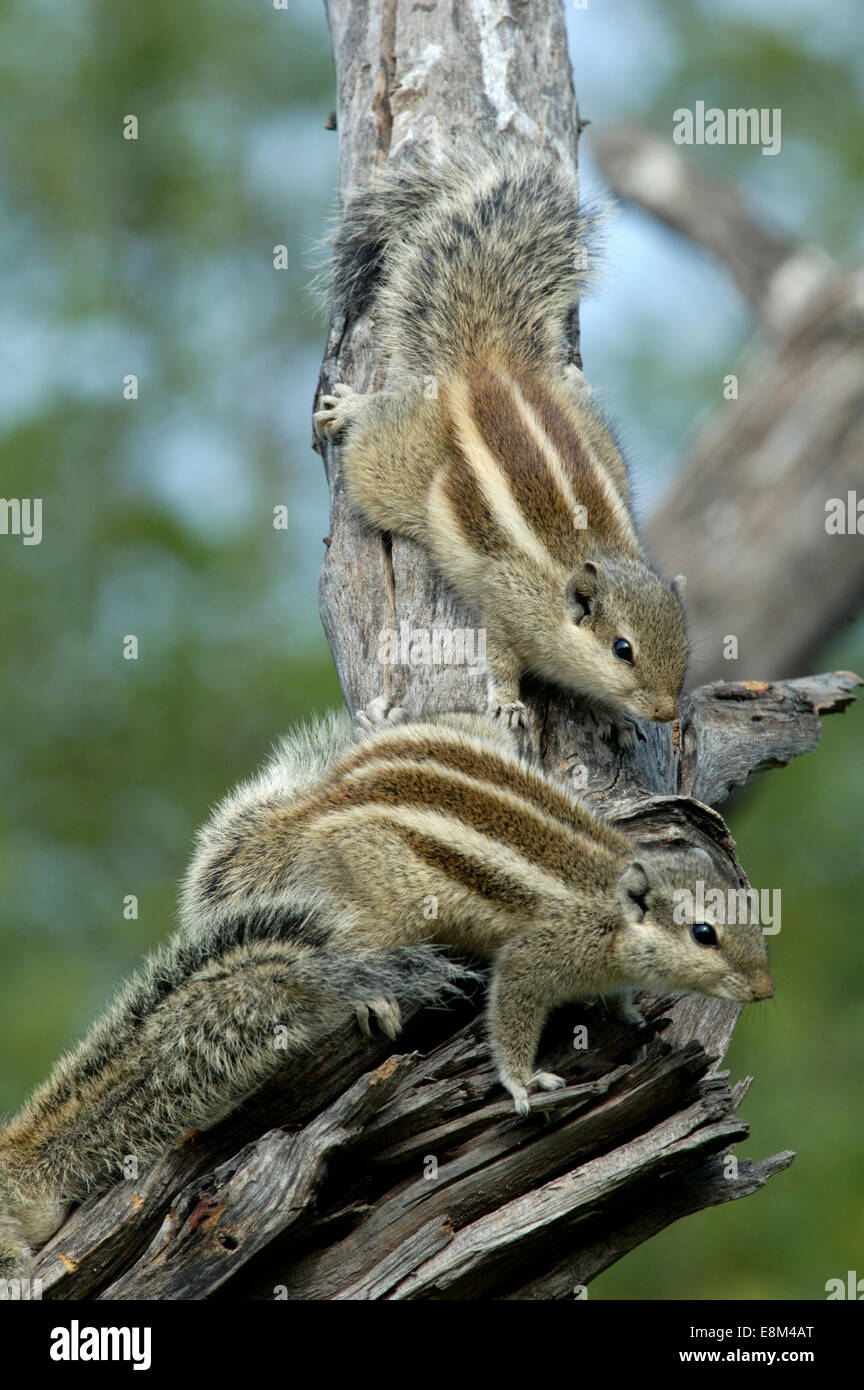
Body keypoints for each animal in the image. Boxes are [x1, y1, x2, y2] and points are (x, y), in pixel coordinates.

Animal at [0, 700, 773, 1276]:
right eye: (703, 933)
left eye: (755, 920)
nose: (764, 989)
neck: (614, 904)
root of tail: (309, 813)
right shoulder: (536, 955)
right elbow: (511, 1013)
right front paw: (525, 1084)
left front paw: (634, 1014)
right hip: (378, 907)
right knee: (344, 954)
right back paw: (373, 996)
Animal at [314, 144, 689, 743]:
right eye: (622, 649)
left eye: (685, 644)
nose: (663, 713)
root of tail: (487, 364)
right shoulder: (503, 600)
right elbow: (499, 657)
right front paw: (510, 704)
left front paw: (612, 717)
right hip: (393, 464)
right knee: (376, 432)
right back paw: (350, 409)